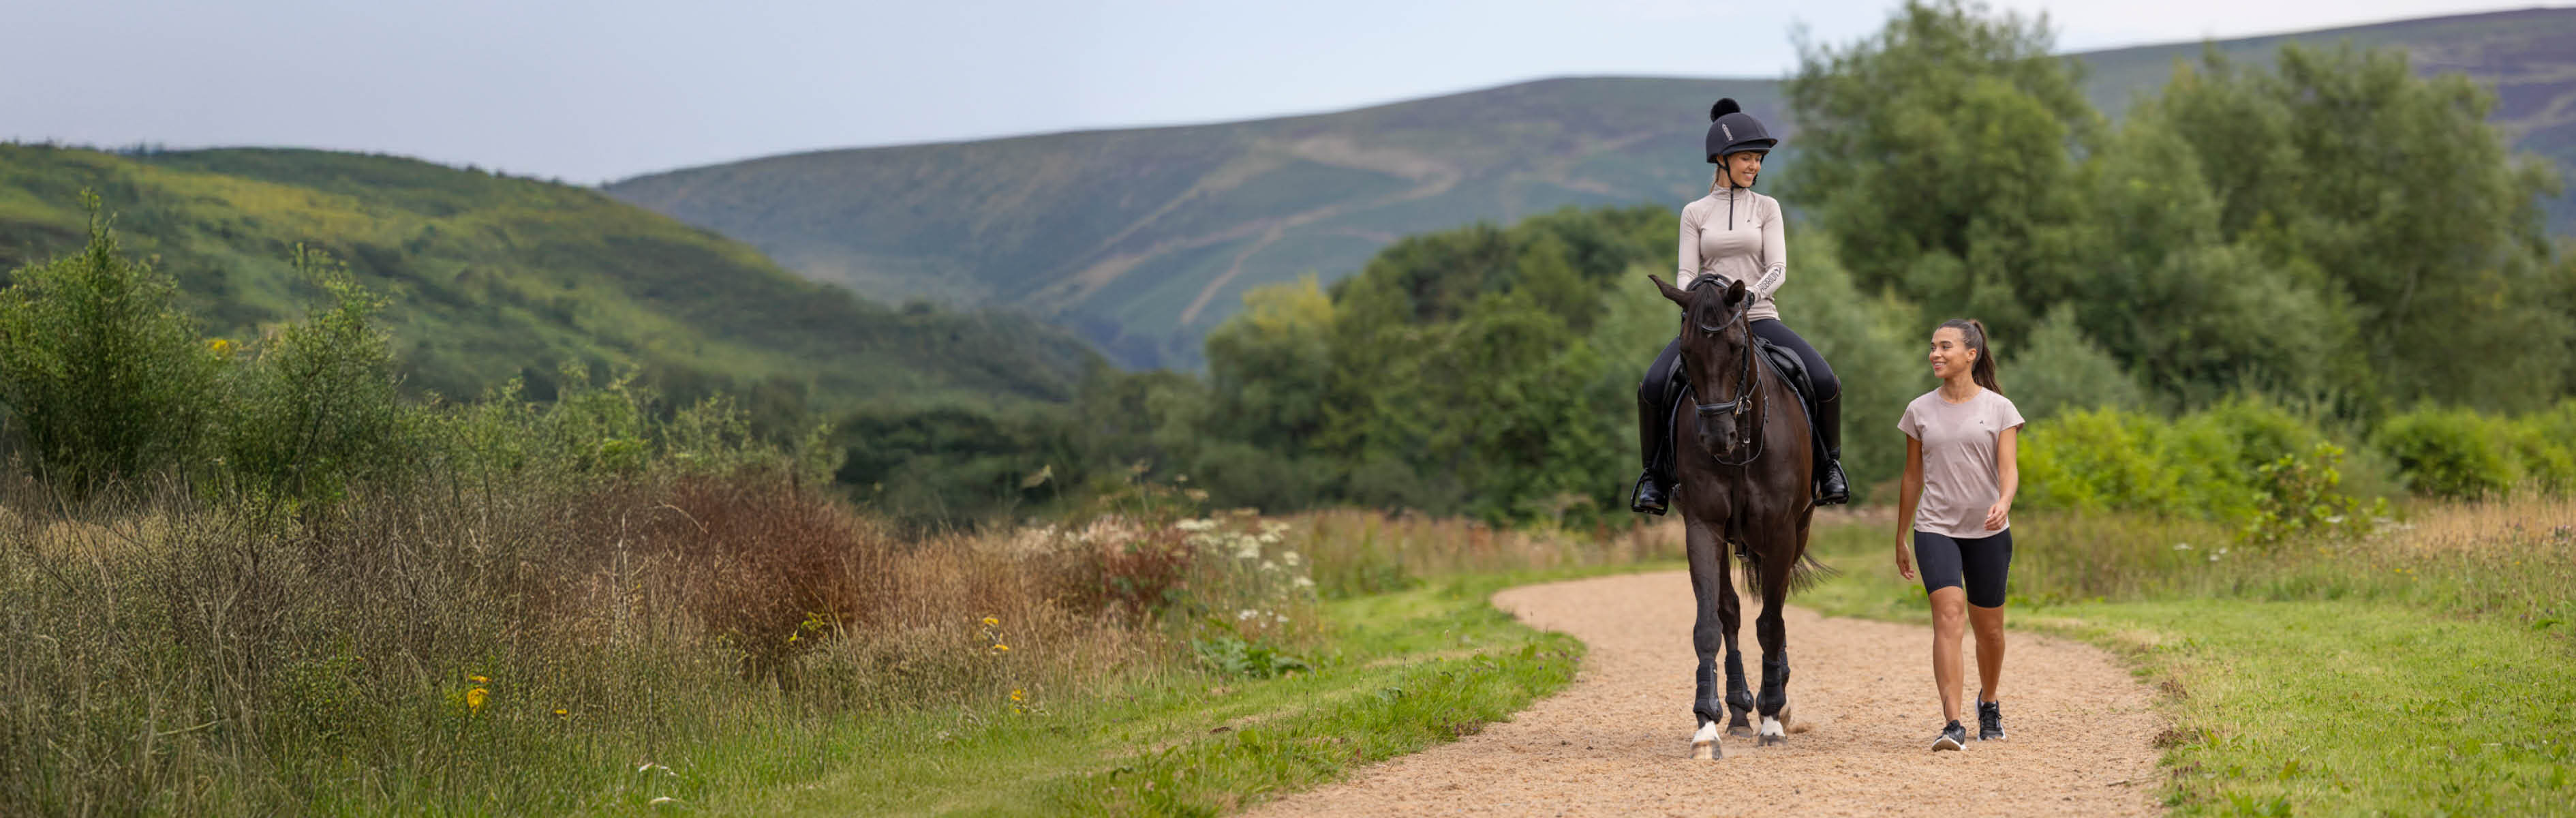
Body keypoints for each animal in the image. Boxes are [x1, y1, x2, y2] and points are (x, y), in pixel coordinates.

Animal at [1649, 275, 1831, 760]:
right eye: (1686, 350)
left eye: (1734, 347)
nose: (1717, 437)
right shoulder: (1702, 528)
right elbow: (1709, 624)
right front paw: (1706, 726)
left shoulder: (1783, 533)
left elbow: (1770, 623)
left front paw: (1772, 718)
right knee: (1730, 611)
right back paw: (1737, 710)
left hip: (1797, 532)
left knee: (1775, 611)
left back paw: (1776, 699)